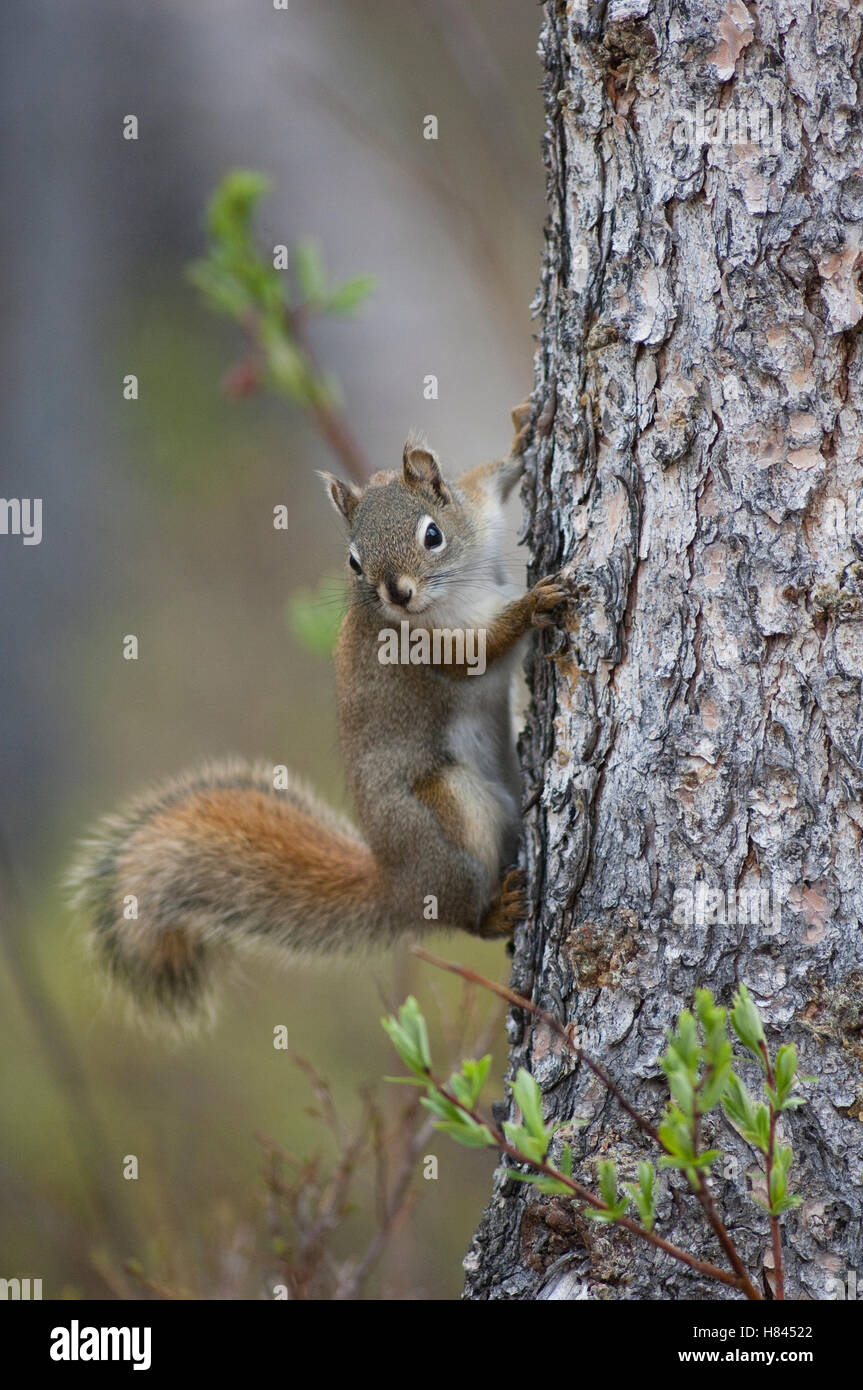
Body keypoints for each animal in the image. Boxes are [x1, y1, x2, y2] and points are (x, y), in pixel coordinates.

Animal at [69, 406, 571, 1027]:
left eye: (432, 533)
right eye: (353, 561)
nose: (398, 594)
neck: (458, 583)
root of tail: (397, 886)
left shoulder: (478, 509)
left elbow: (491, 480)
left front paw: (528, 426)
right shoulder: (433, 648)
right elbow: (484, 648)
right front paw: (532, 605)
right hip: (448, 814)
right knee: (460, 914)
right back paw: (496, 910)